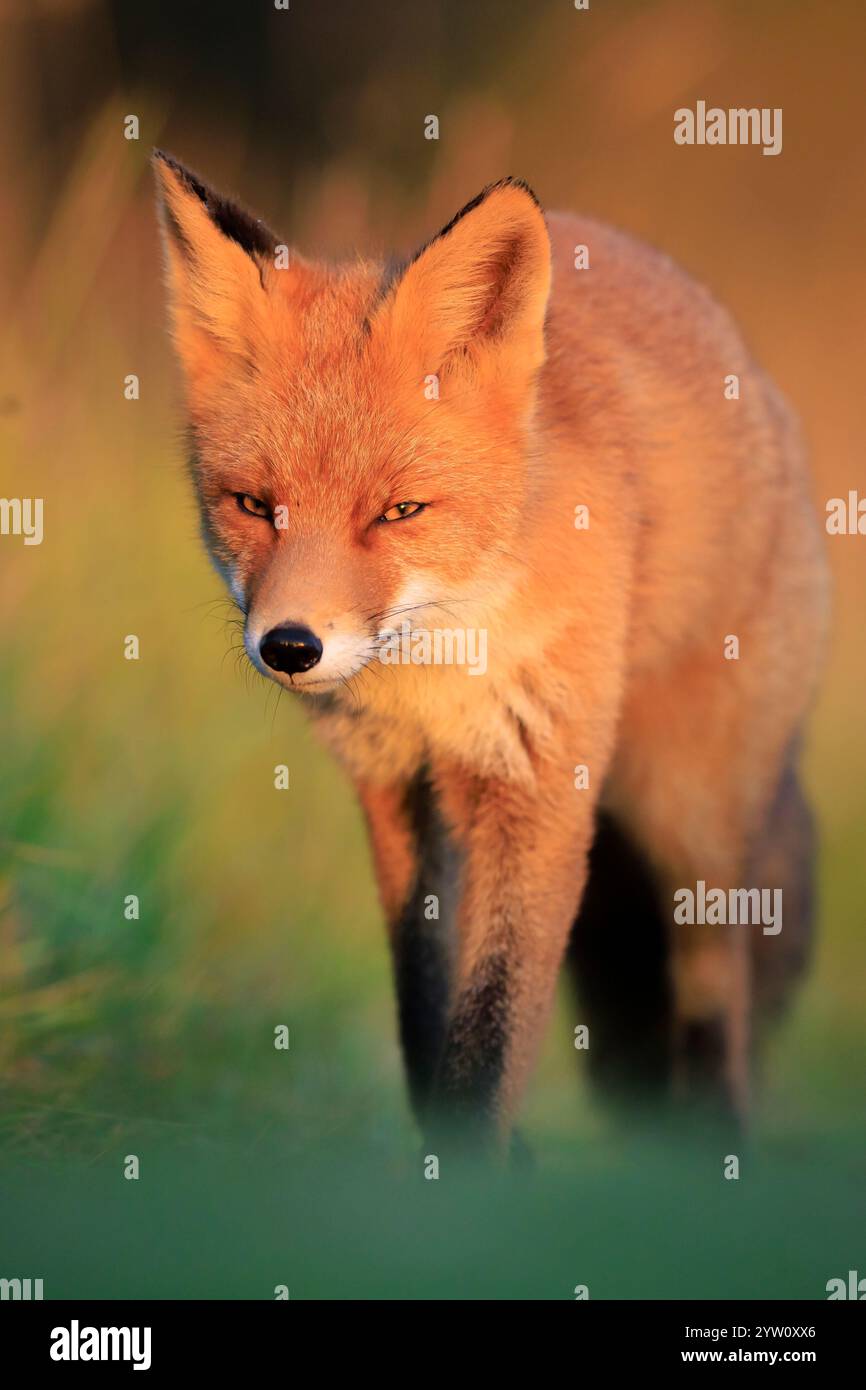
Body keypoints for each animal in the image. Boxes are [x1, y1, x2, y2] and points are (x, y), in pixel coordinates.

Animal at [154, 150, 828, 1152]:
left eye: (398, 512)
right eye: (253, 506)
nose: (290, 647)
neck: (437, 673)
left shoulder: (540, 789)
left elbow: (493, 1028)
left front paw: (472, 1180)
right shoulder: (397, 790)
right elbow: (427, 1022)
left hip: (689, 821)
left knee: (719, 1007)